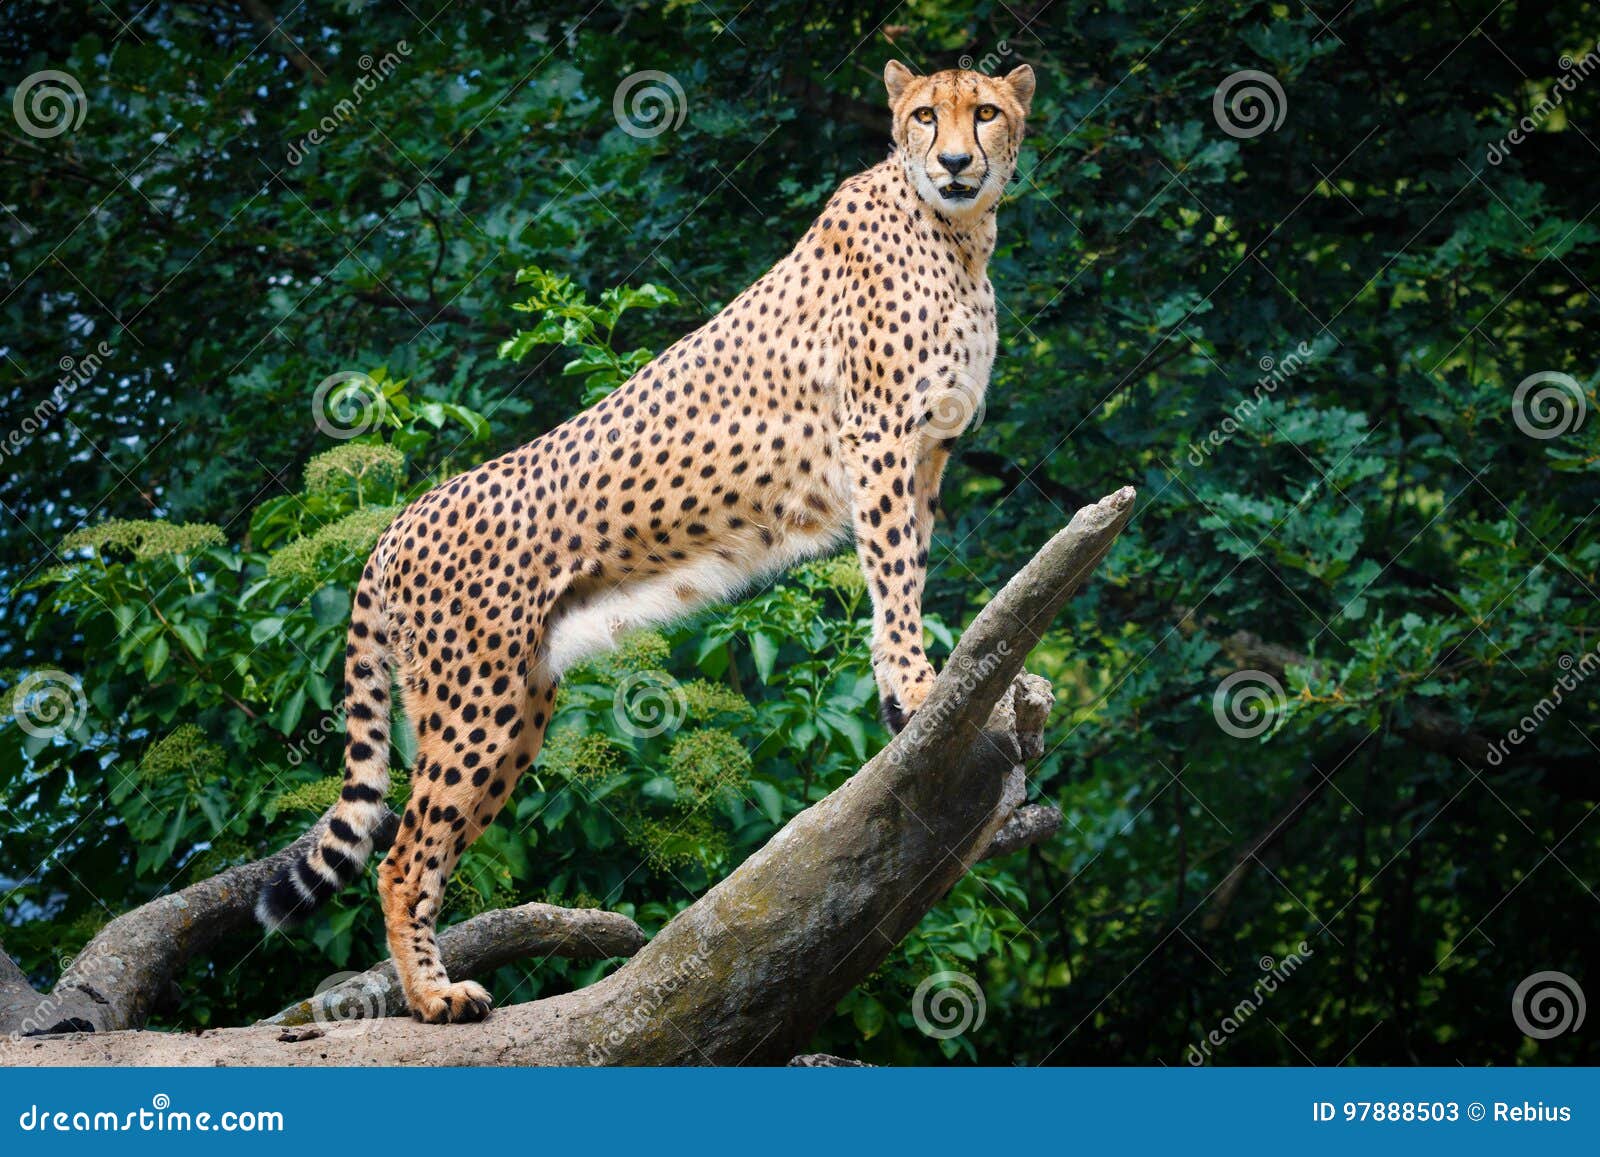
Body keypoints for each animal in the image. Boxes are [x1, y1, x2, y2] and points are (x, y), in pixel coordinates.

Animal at [257, 59, 1036, 1024]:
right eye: (926, 116)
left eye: (987, 112)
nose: (958, 162)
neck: (959, 235)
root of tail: (398, 519)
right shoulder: (881, 442)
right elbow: (894, 576)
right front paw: (918, 687)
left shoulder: (928, 453)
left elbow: (908, 570)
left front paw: (905, 692)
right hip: (473, 705)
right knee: (401, 860)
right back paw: (435, 999)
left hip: (518, 706)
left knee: (424, 847)